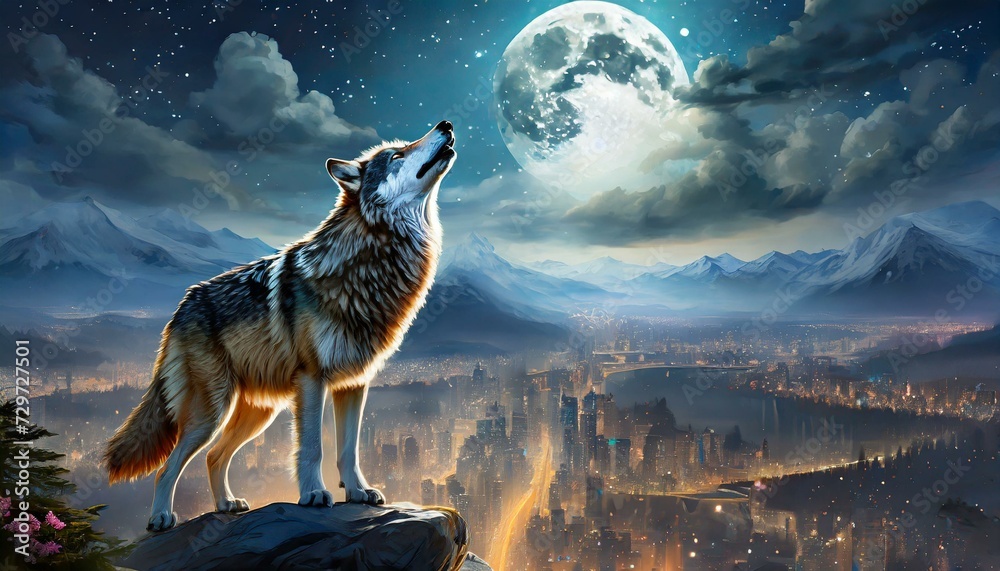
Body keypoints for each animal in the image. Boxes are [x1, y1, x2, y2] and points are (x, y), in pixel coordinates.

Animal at [104, 121, 456, 531]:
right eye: (398, 154)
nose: (446, 125)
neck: (367, 259)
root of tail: (182, 306)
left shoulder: (354, 384)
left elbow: (348, 450)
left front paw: (358, 492)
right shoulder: (312, 378)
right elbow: (313, 448)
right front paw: (314, 494)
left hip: (257, 413)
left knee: (213, 456)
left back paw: (226, 504)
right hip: (212, 412)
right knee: (168, 466)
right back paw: (161, 517)